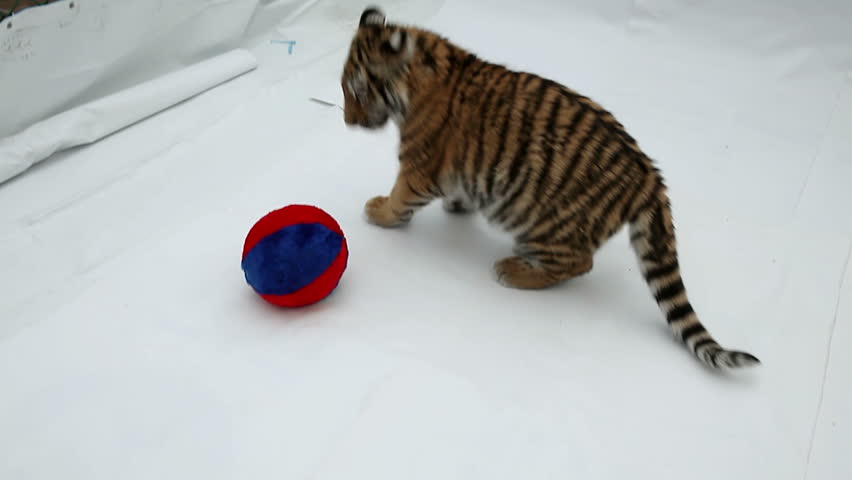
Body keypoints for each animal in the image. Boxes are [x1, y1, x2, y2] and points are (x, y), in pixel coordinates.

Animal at [340, 6, 759, 370]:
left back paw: (513, 270)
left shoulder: (418, 167)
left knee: (578, 262)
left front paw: (379, 211)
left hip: (542, 222)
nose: (347, 121)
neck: (416, 74)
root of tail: (650, 178)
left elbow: (399, 199)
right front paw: (457, 205)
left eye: (356, 91)